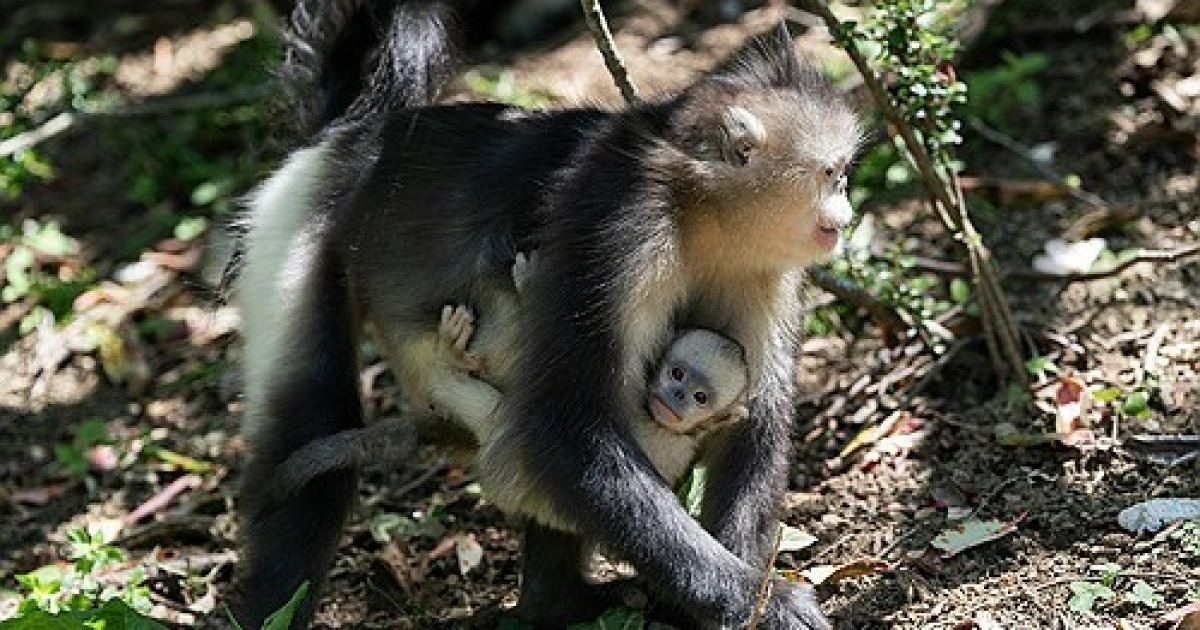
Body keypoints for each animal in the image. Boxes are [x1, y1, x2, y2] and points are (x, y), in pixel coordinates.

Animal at [230, 0, 860, 627]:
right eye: (833, 175)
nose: (847, 213)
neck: (698, 214)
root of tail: (351, 137)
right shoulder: (621, 230)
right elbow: (566, 423)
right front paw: (753, 598)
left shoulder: (759, 270)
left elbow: (750, 426)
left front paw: (733, 594)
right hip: (295, 227)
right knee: (316, 430)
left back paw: (555, 600)